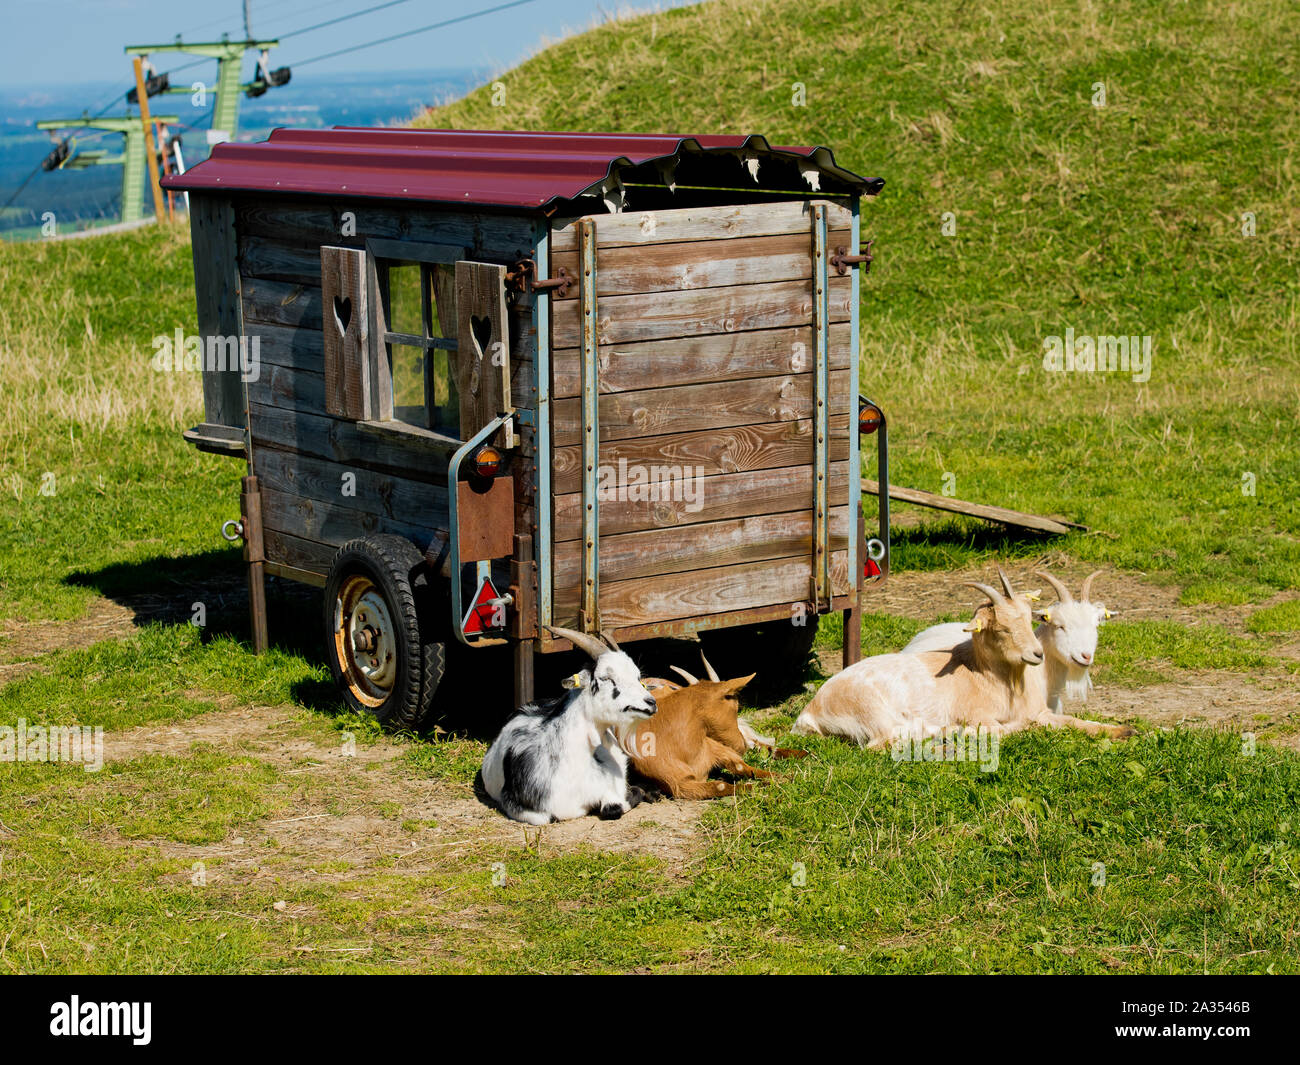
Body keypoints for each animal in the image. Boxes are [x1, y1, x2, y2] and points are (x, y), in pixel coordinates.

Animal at [481, 625, 659, 824]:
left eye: (638, 677)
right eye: (606, 678)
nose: (651, 702)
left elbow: (615, 804)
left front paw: (641, 792)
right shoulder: (520, 807)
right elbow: (612, 808)